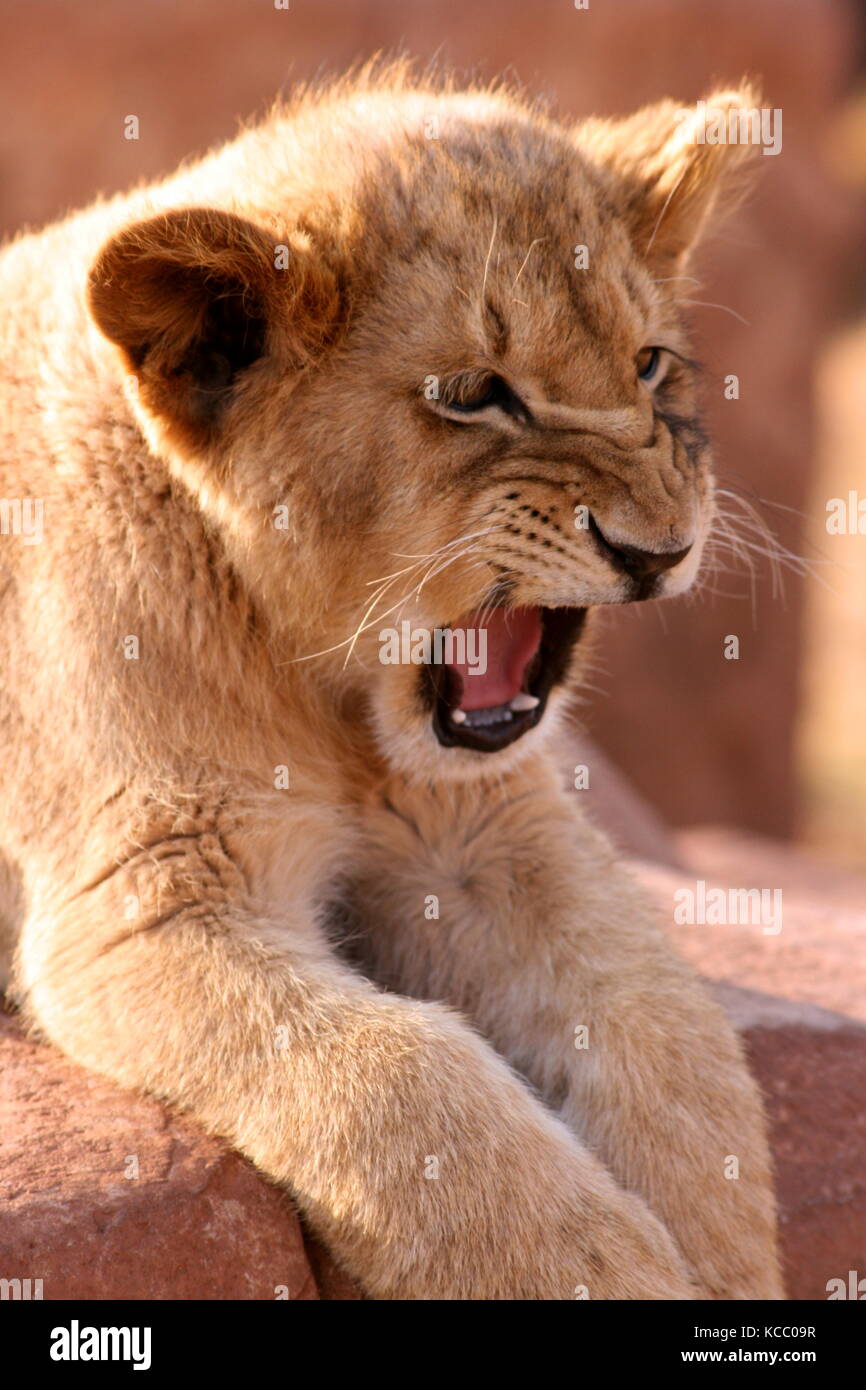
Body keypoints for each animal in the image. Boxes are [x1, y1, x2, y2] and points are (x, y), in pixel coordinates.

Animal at [0, 62, 782, 1300]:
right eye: (472, 392)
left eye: (648, 365)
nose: (659, 549)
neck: (325, 702)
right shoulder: (153, 894)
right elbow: (403, 1074)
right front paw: (607, 1269)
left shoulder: (488, 833)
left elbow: (666, 1028)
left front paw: (722, 1266)